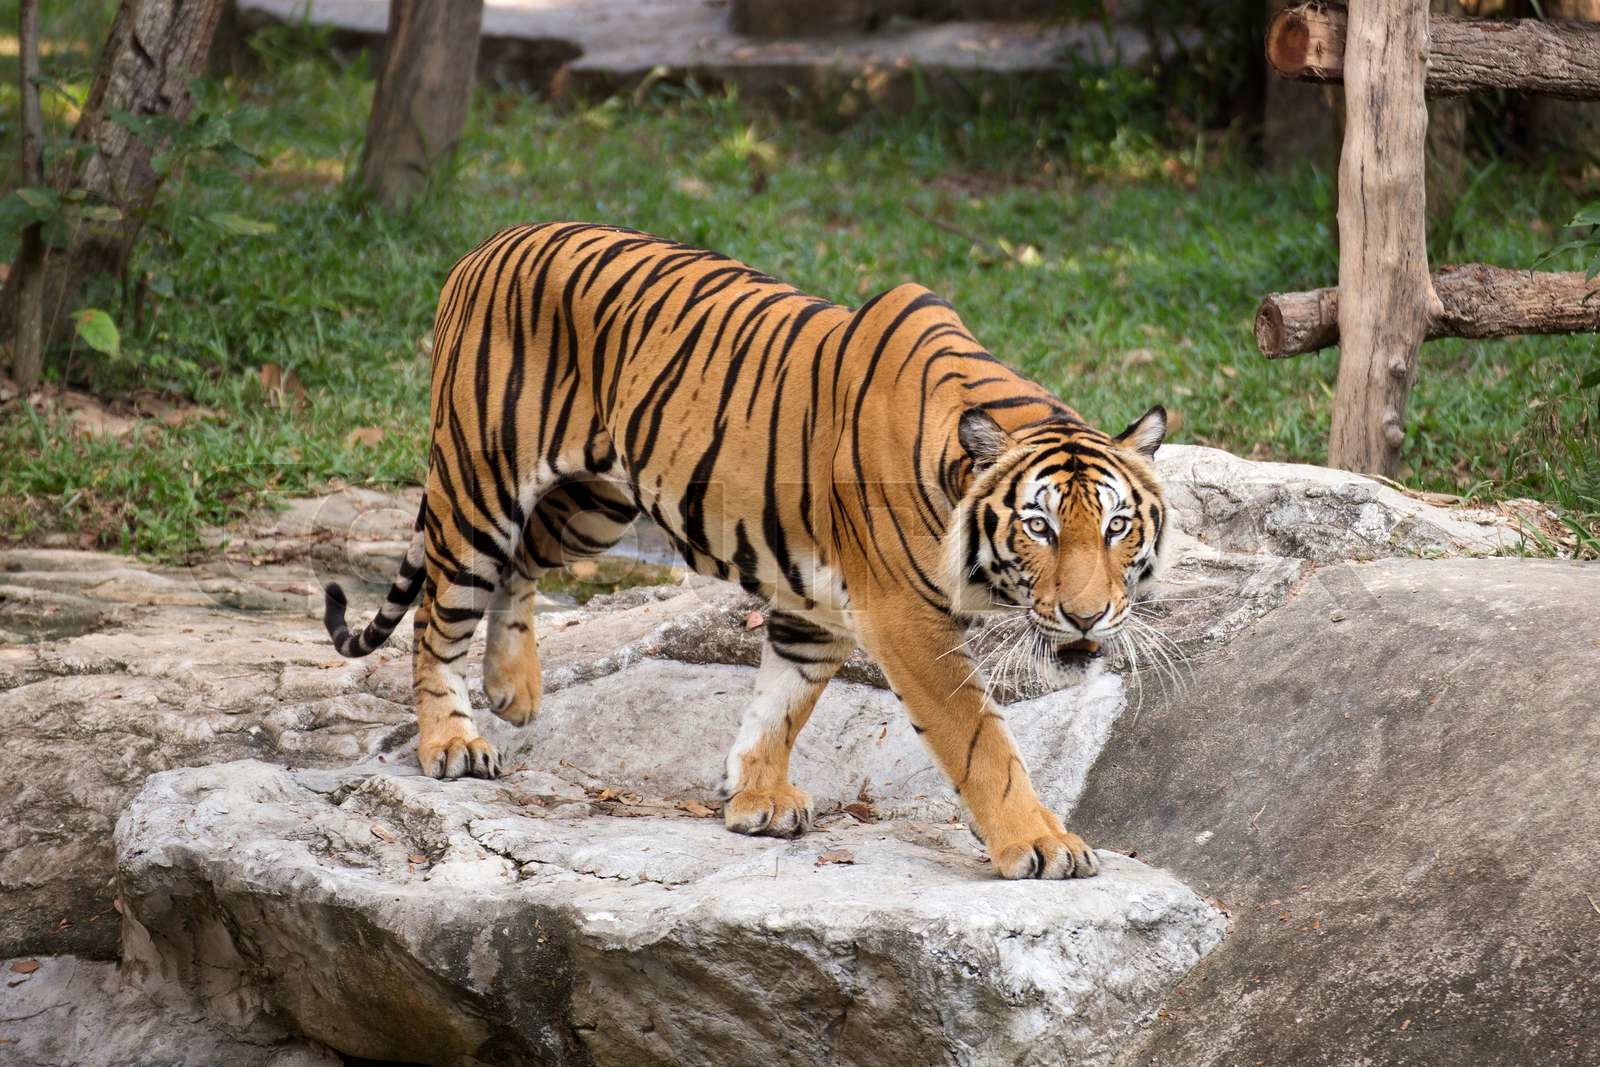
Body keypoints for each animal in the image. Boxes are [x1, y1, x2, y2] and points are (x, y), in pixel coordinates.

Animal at [323, 222, 1169, 881]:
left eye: (1118, 527)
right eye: (1040, 527)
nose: (1087, 616)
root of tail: (483, 245)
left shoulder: (818, 606)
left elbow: (781, 701)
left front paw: (756, 797)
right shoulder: (905, 618)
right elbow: (981, 740)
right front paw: (1042, 842)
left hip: (595, 503)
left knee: (523, 561)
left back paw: (513, 688)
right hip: (480, 486)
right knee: (437, 614)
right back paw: (453, 741)